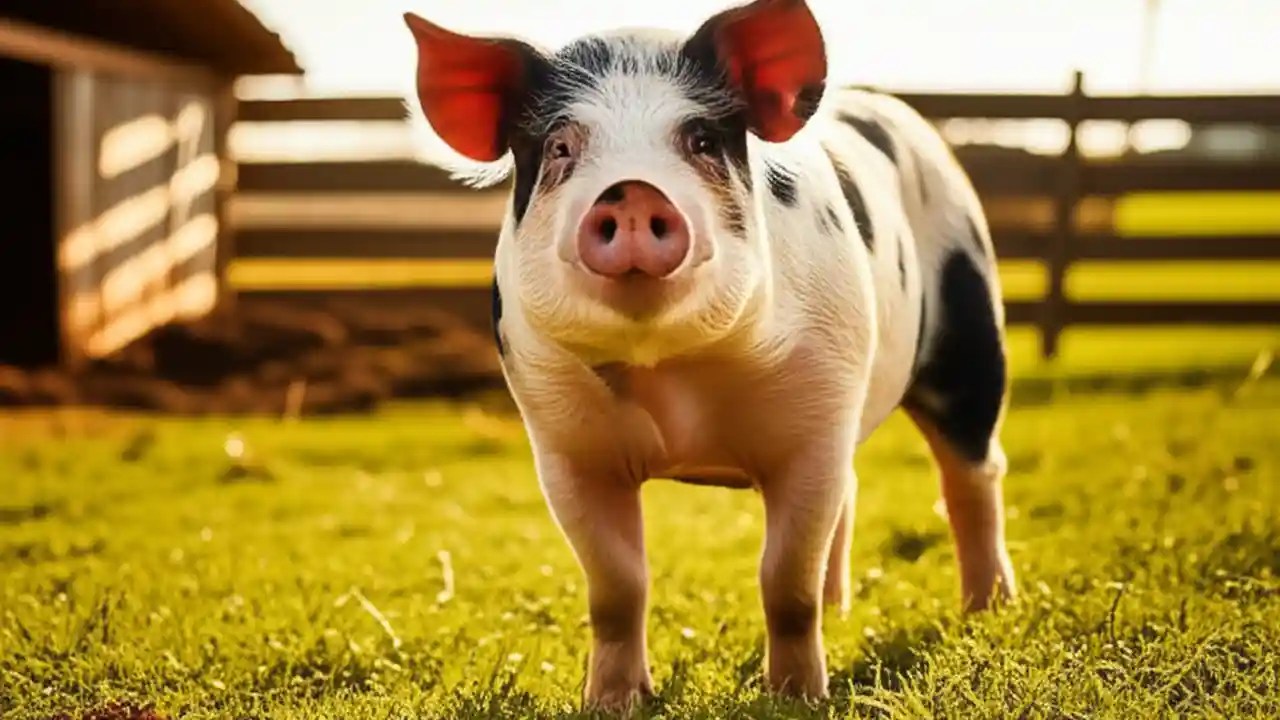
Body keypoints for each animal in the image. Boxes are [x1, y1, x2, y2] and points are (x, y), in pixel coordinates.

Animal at [403, 0, 1017, 710]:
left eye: (700, 140)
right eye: (559, 146)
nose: (631, 192)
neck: (670, 383)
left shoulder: (814, 422)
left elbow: (786, 581)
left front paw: (797, 700)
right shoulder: (565, 447)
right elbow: (616, 585)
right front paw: (612, 704)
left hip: (970, 330)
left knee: (973, 472)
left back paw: (989, 609)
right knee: (857, 491)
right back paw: (846, 612)